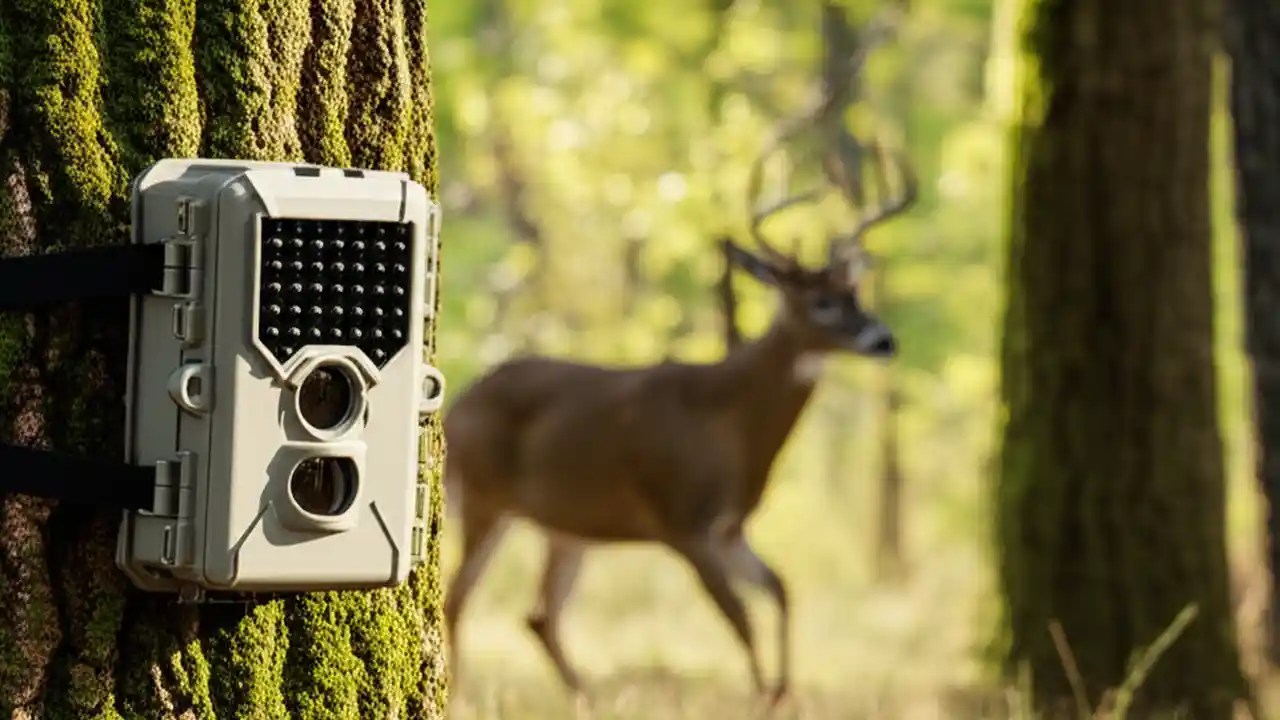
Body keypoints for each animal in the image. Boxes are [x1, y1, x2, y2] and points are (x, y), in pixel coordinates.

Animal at [441, 92, 917, 704]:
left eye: (855, 292)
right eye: (821, 302)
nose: (884, 339)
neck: (730, 421)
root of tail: (458, 404)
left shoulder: (730, 528)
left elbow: (782, 589)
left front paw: (781, 694)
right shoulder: (683, 522)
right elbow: (741, 617)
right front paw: (761, 698)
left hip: (566, 525)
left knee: (540, 615)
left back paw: (587, 699)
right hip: (485, 496)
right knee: (459, 598)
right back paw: (463, 694)